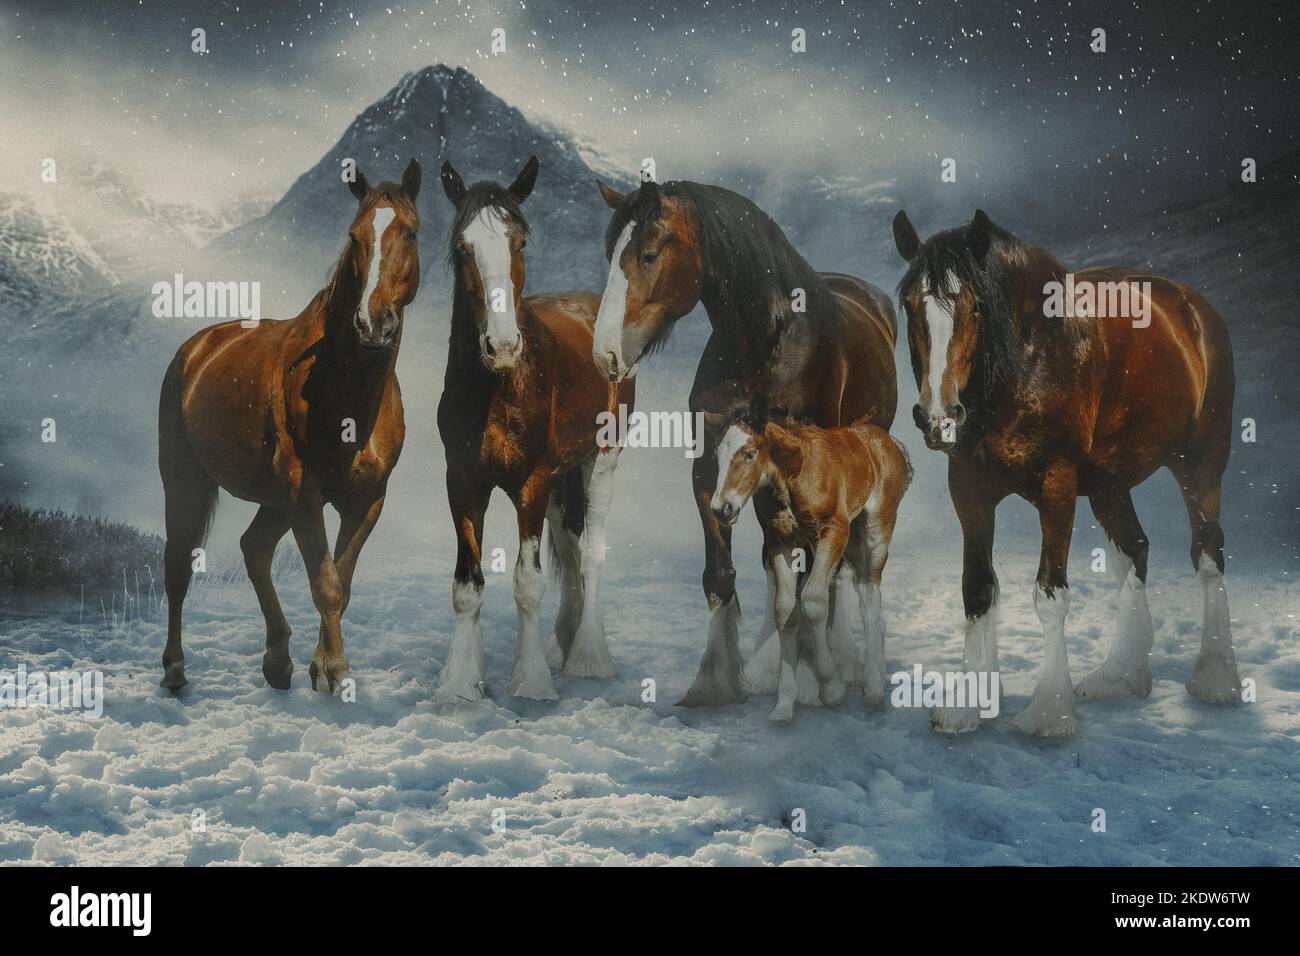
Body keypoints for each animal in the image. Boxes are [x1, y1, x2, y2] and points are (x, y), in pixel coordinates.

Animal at [158, 160, 423, 695]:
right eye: (355, 234)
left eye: (410, 231)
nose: (373, 322)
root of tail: (196, 348)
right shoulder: (306, 492)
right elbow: (326, 584)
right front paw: (337, 671)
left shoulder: (366, 499)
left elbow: (342, 580)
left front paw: (320, 668)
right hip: (187, 482)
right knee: (178, 566)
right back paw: (175, 668)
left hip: (276, 499)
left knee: (254, 549)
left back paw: (277, 661)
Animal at [434, 157, 634, 703]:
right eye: (462, 247)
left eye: (520, 241)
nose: (501, 345)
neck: (502, 386)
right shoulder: (463, 481)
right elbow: (467, 586)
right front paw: (461, 680)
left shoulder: (532, 482)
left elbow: (528, 582)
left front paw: (530, 682)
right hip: (564, 479)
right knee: (568, 545)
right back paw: (561, 645)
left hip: (600, 461)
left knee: (590, 556)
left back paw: (589, 657)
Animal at [591, 178, 898, 707]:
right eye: (611, 252)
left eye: (649, 254)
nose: (605, 352)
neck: (767, 343)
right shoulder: (713, 468)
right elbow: (723, 576)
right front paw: (714, 682)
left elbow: (812, 576)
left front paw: (812, 676)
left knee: (837, 572)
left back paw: (836, 662)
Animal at [707, 399, 912, 721]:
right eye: (718, 454)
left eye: (750, 453)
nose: (721, 508)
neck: (793, 475)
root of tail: (889, 442)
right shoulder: (782, 543)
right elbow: (784, 608)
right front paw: (784, 704)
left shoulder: (833, 532)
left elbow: (814, 602)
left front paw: (831, 688)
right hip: (854, 540)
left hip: (875, 530)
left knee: (869, 595)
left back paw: (873, 688)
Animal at [892, 208, 1240, 736]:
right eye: (909, 306)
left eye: (976, 307)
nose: (939, 417)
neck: (1028, 360)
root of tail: (1195, 310)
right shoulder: (969, 490)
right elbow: (977, 588)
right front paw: (968, 705)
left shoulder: (1056, 487)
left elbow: (1050, 594)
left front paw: (1049, 713)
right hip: (1109, 484)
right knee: (1134, 551)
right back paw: (1120, 673)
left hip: (1200, 463)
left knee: (1207, 552)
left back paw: (1216, 678)